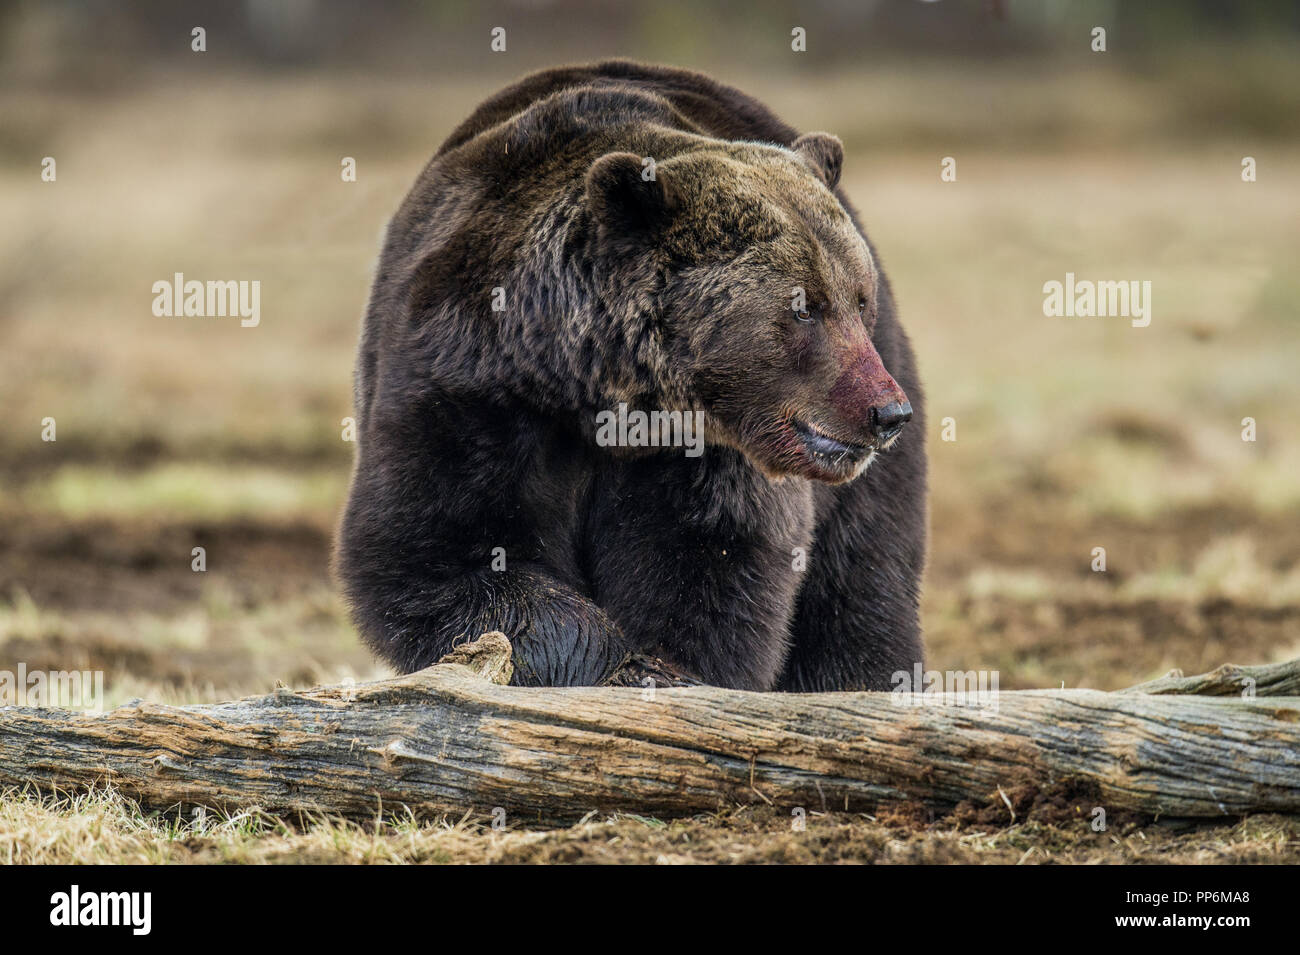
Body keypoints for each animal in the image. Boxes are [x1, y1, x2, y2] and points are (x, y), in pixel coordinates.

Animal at [336, 60, 926, 691]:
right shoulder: (466, 384)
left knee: (859, 582)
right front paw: (591, 656)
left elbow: (710, 564)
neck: (593, 391)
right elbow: (438, 548)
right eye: (804, 308)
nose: (887, 412)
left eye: (857, 300)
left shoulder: (704, 448)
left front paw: (661, 667)